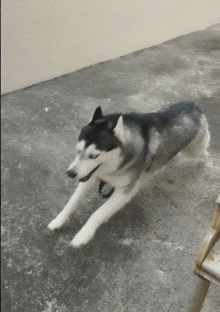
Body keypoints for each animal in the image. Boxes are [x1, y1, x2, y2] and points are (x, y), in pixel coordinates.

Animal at [47, 102, 210, 249]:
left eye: (93, 156)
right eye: (78, 151)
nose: (70, 173)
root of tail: (194, 105)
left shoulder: (124, 191)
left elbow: (98, 213)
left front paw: (83, 235)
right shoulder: (91, 176)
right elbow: (72, 202)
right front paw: (58, 220)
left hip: (192, 151)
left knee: (204, 151)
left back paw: (206, 160)